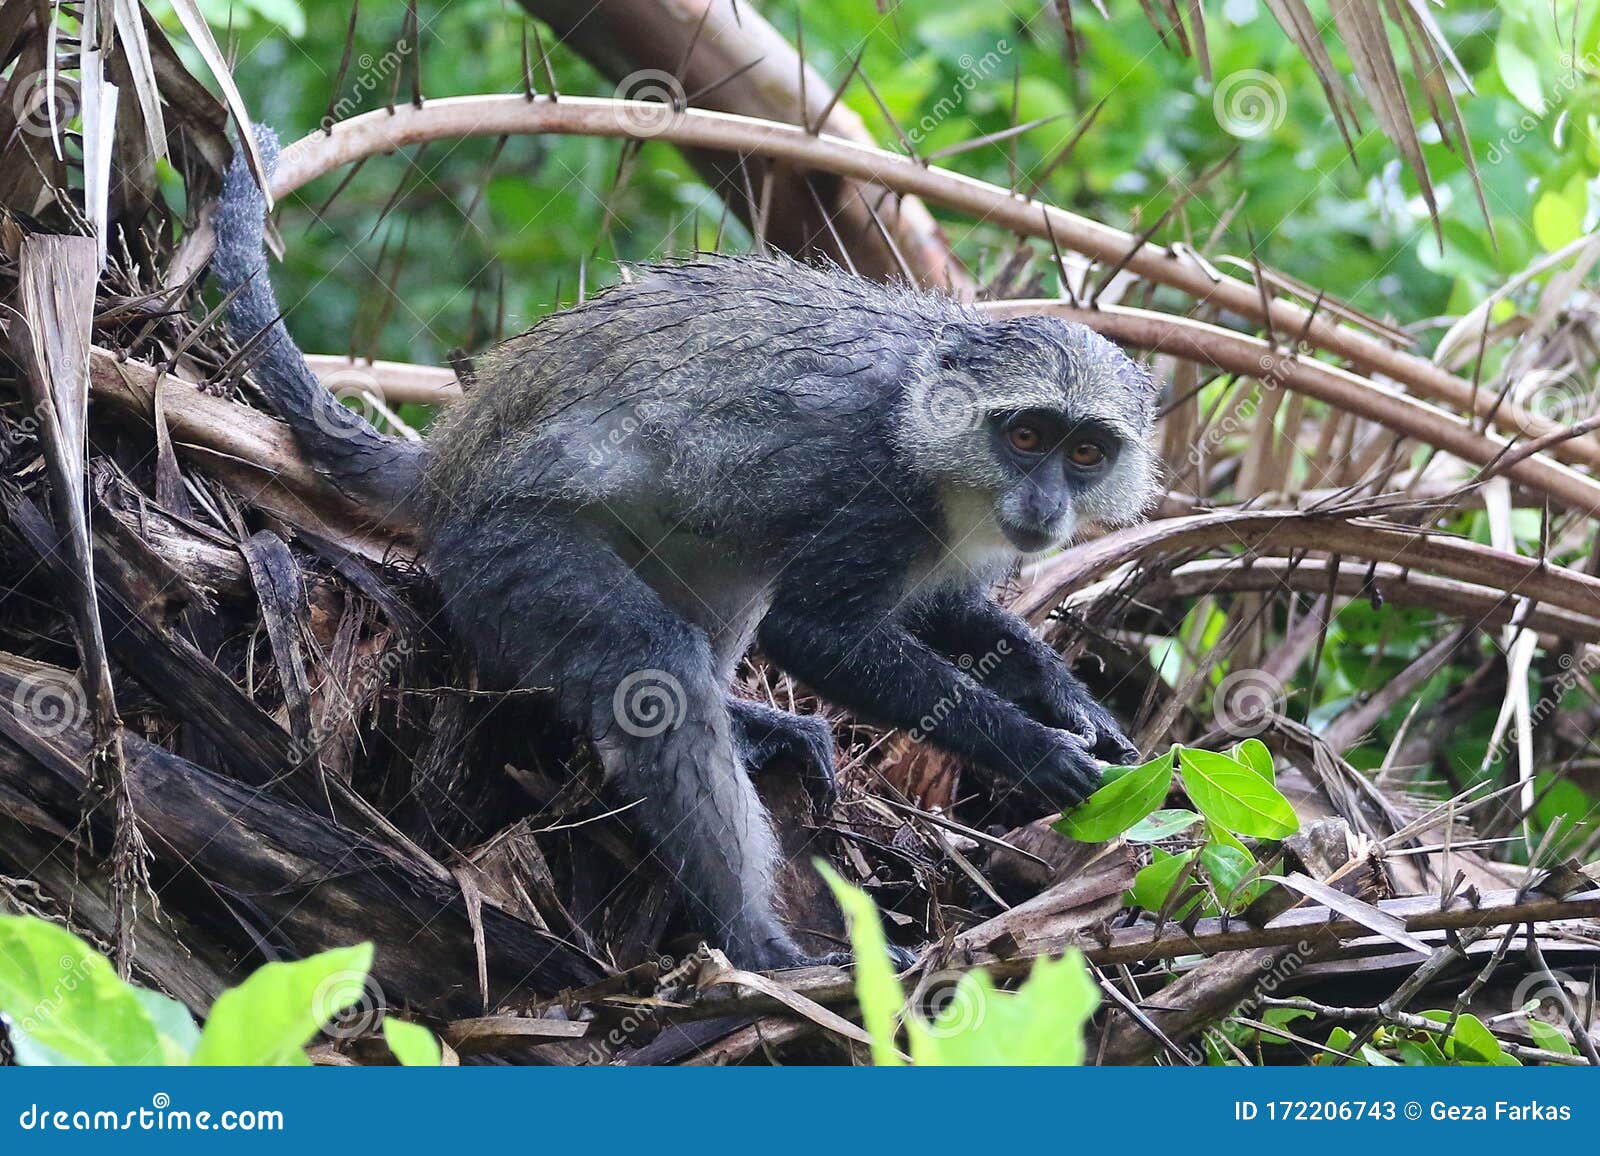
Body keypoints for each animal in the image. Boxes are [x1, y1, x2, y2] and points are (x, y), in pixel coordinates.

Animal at [211, 130, 1161, 970]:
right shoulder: (878, 488)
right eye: (1027, 435)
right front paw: (1038, 752)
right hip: (508, 550)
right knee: (650, 661)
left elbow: (947, 607)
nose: (1044, 505)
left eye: (1086, 451)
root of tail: (448, 460)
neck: (938, 427)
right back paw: (761, 945)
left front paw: (1074, 706)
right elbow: (813, 633)